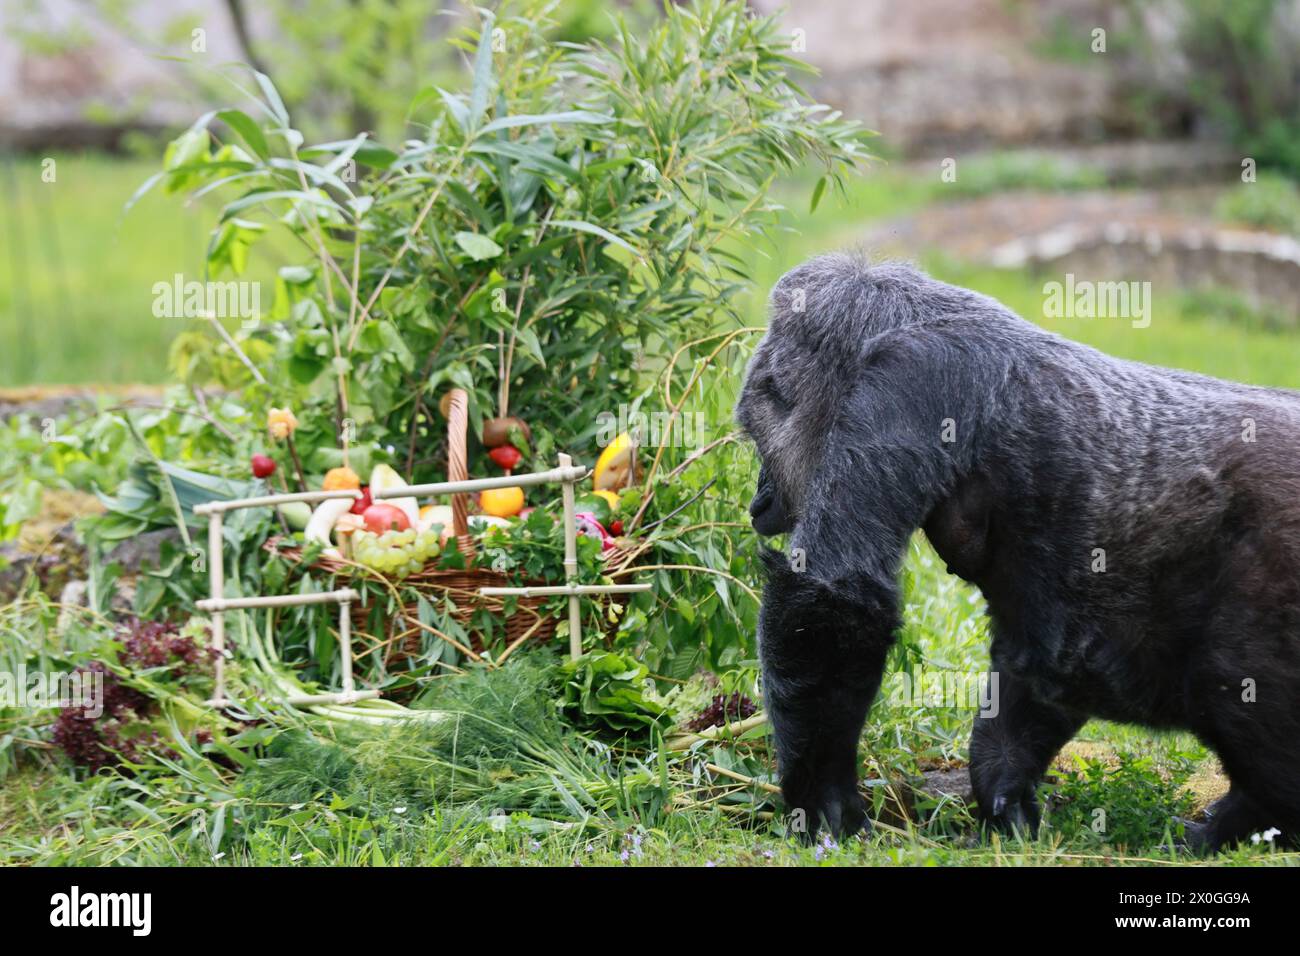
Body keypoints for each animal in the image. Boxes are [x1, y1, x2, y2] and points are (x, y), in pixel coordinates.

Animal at [735, 252, 1300, 849]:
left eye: (759, 435)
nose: (759, 500)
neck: (901, 322)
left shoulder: (912, 378)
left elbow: (833, 593)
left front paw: (823, 797)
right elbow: (1035, 673)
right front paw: (1005, 799)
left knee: (1243, 695)